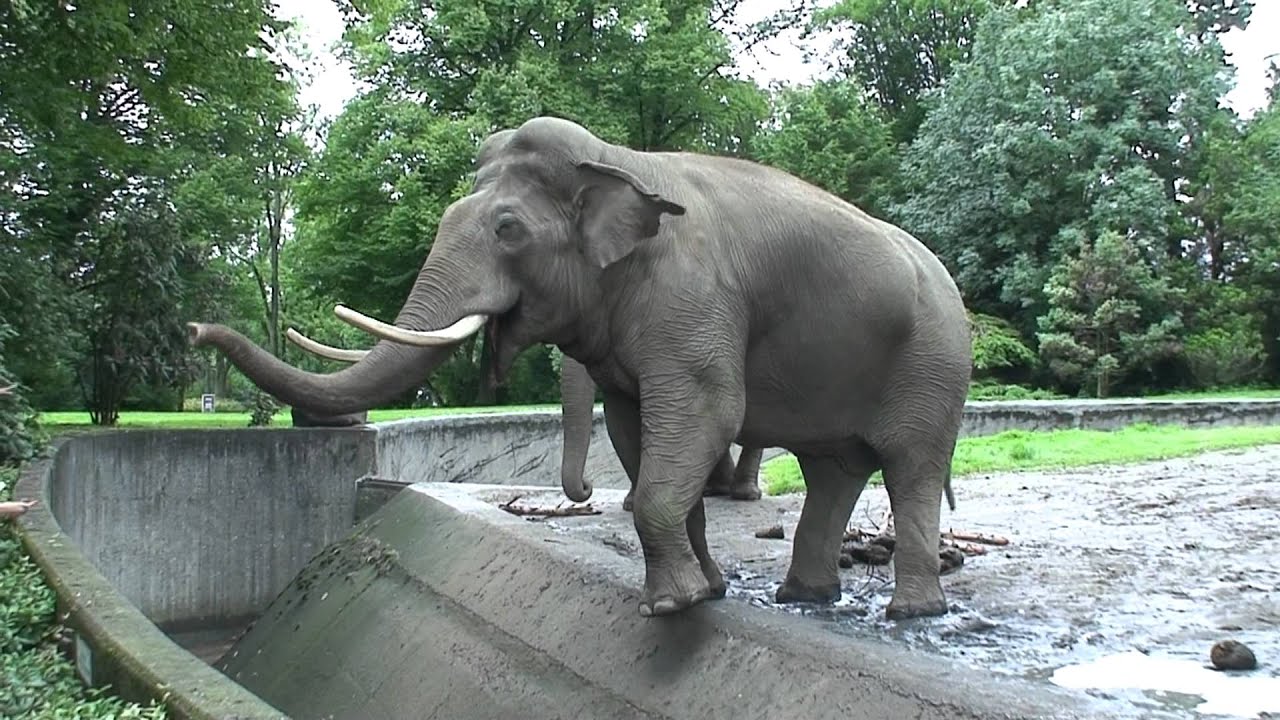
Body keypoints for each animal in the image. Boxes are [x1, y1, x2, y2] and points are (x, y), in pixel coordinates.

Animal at [188, 116, 972, 620]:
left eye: (507, 229)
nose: (196, 328)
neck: (622, 159)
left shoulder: (693, 300)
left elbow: (705, 413)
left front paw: (672, 606)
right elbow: (635, 428)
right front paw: (706, 591)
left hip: (933, 360)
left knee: (910, 464)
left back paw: (909, 612)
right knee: (834, 470)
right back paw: (804, 598)